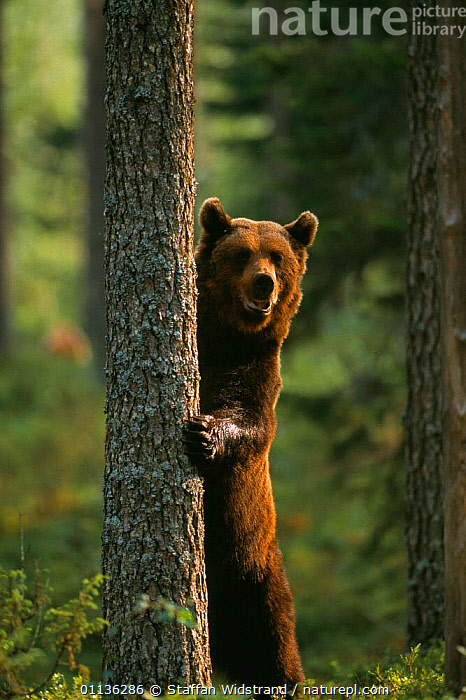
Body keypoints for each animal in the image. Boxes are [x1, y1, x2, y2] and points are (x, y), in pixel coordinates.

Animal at [185, 198, 318, 690]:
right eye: (242, 254)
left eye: (277, 257)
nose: (265, 281)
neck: (226, 337)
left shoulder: (257, 367)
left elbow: (251, 423)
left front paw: (205, 432)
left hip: (260, 581)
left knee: (278, 654)